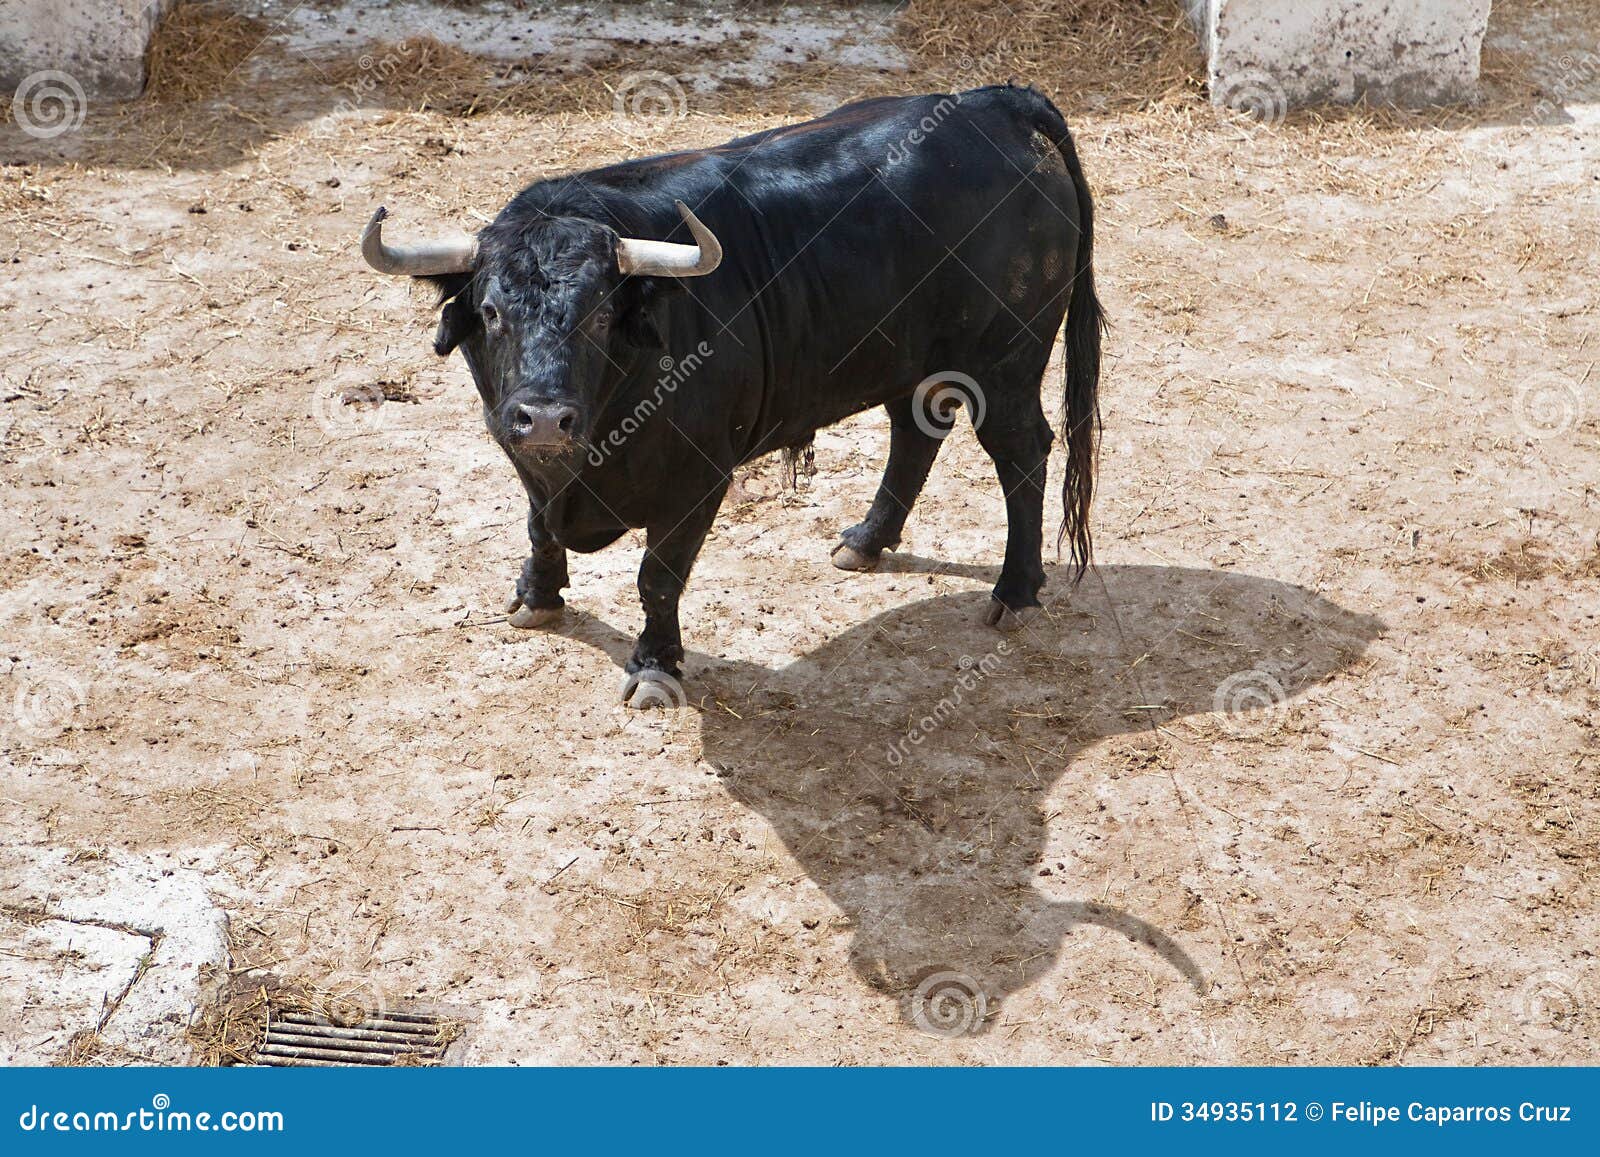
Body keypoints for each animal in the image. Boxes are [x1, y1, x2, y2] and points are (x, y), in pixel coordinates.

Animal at [359, 83, 1104, 707]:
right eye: (489, 312)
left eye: (600, 314)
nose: (543, 417)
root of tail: (999, 102)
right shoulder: (529, 462)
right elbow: (539, 528)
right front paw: (535, 597)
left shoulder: (698, 479)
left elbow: (658, 574)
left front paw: (654, 666)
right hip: (911, 365)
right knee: (916, 435)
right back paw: (866, 541)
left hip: (1003, 369)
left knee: (1023, 454)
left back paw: (1015, 592)